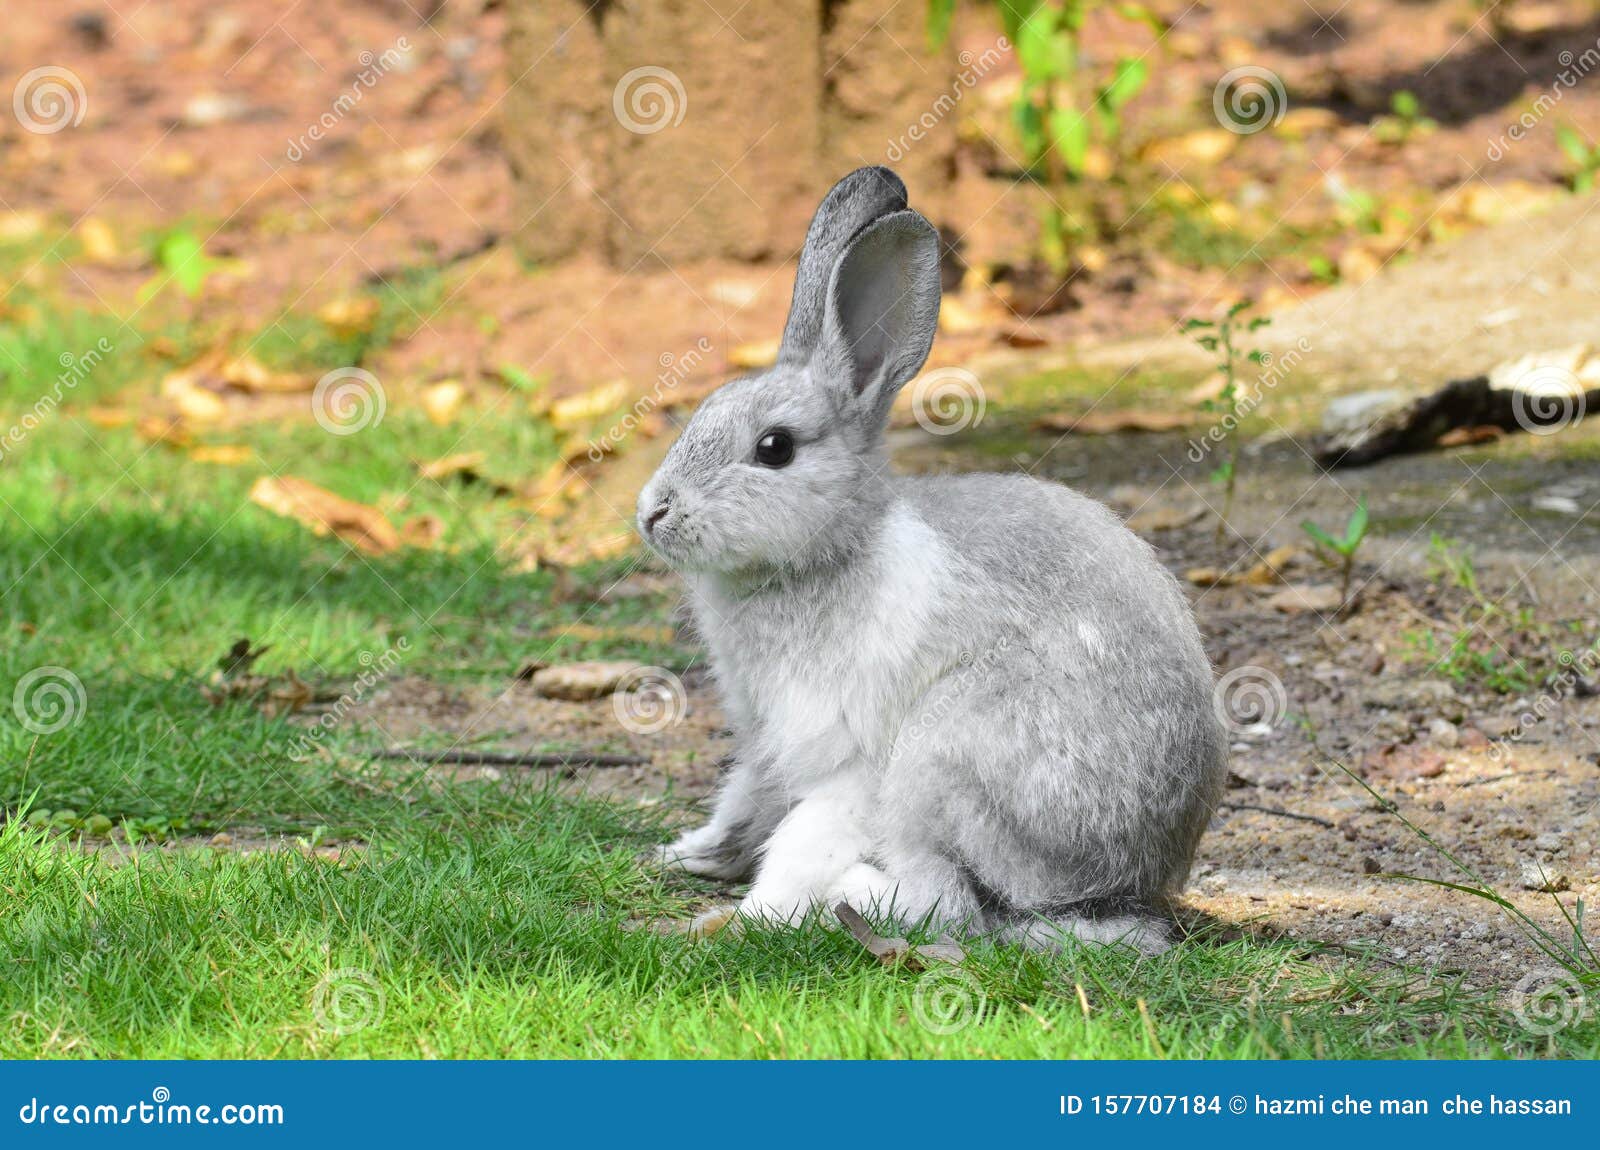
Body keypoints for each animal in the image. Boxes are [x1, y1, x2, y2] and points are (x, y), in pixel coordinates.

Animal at [636, 166, 1227, 954]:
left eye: (774, 449)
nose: (653, 513)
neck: (832, 549)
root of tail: (1134, 877)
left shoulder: (848, 760)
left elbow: (803, 842)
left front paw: (744, 917)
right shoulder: (763, 741)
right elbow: (745, 804)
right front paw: (689, 856)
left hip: (941, 758)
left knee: (952, 907)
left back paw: (854, 894)